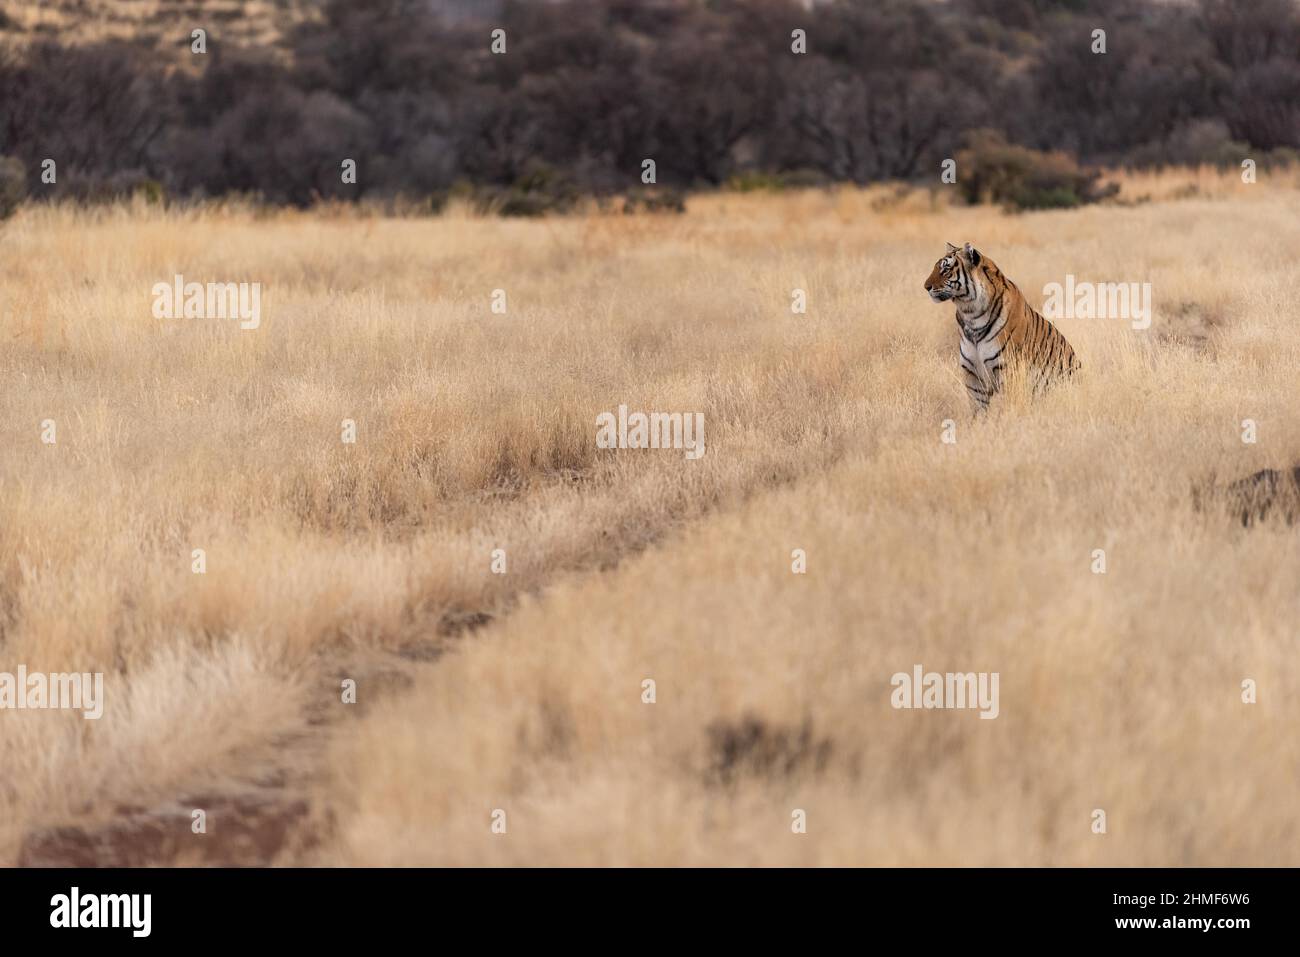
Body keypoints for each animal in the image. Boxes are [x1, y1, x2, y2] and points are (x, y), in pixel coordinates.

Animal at [924, 242, 1080, 412]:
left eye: (946, 269)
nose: (926, 287)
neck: (970, 314)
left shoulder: (1007, 370)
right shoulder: (972, 374)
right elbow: (978, 410)